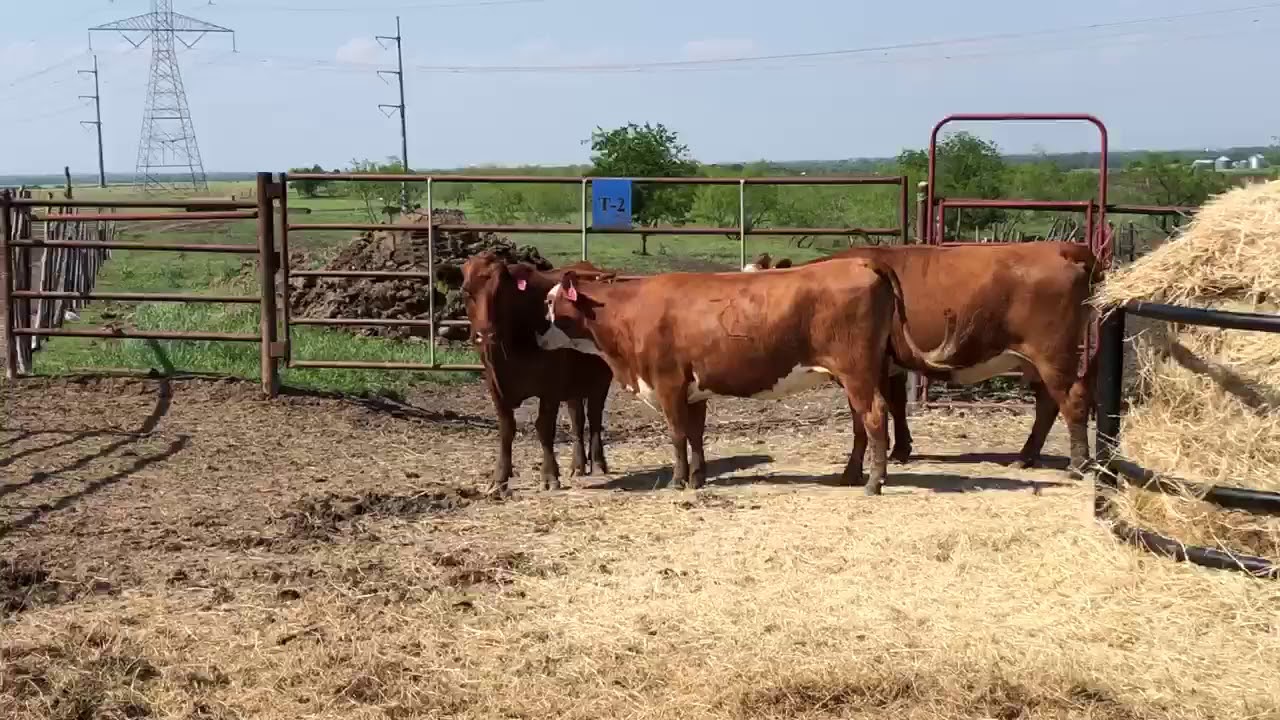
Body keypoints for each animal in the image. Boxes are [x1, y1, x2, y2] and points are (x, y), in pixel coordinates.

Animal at [461, 252, 618, 497]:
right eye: (467, 291)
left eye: (501, 292)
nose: (485, 334)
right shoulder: (494, 385)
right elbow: (506, 430)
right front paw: (499, 480)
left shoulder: (550, 386)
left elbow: (544, 428)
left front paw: (550, 476)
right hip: (574, 385)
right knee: (577, 420)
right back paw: (577, 465)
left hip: (600, 380)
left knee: (594, 418)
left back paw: (599, 464)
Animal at [510, 258, 960, 495]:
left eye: (550, 303)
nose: (535, 335)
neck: (630, 313)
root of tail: (860, 260)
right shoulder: (695, 390)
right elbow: (695, 436)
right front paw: (698, 477)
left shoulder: (669, 384)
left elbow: (677, 435)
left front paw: (678, 481)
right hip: (856, 375)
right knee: (860, 423)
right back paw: (851, 475)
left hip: (858, 373)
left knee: (874, 417)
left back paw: (874, 482)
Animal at [743, 242, 1106, 477]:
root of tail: (1064, 248)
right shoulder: (890, 366)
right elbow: (897, 403)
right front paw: (900, 449)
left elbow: (883, 407)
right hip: (1035, 360)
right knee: (1048, 404)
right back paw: (1026, 457)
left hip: (1052, 353)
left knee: (1071, 398)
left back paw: (1077, 464)